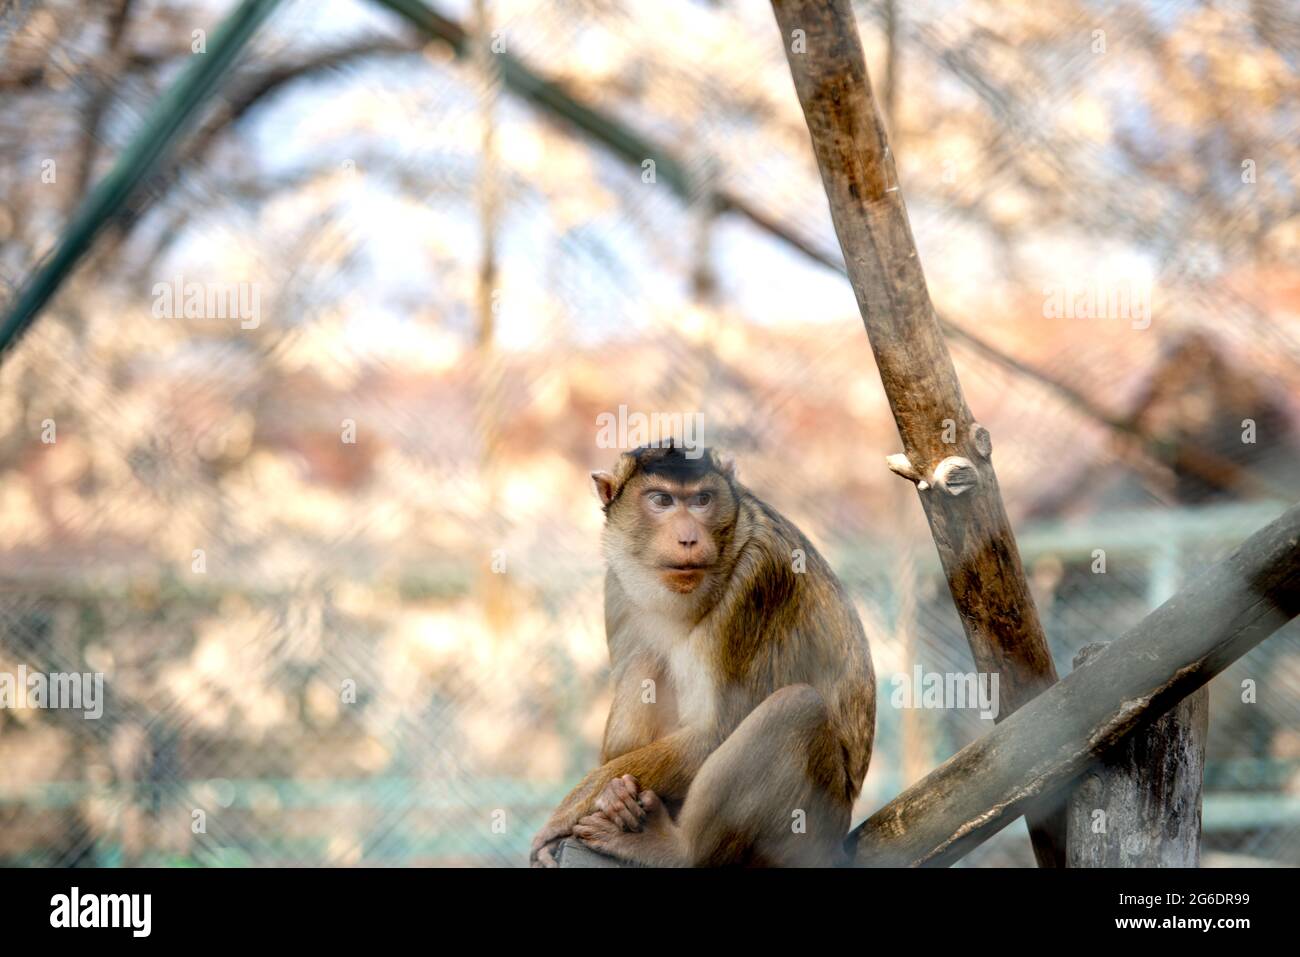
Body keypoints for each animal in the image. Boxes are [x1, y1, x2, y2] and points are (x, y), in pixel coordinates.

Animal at [529, 443, 874, 867]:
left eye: (702, 500)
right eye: (662, 501)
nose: (689, 539)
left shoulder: (756, 576)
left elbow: (716, 731)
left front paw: (570, 808)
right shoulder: (618, 581)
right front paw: (611, 793)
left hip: (811, 828)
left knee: (796, 707)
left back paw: (678, 850)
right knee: (647, 660)